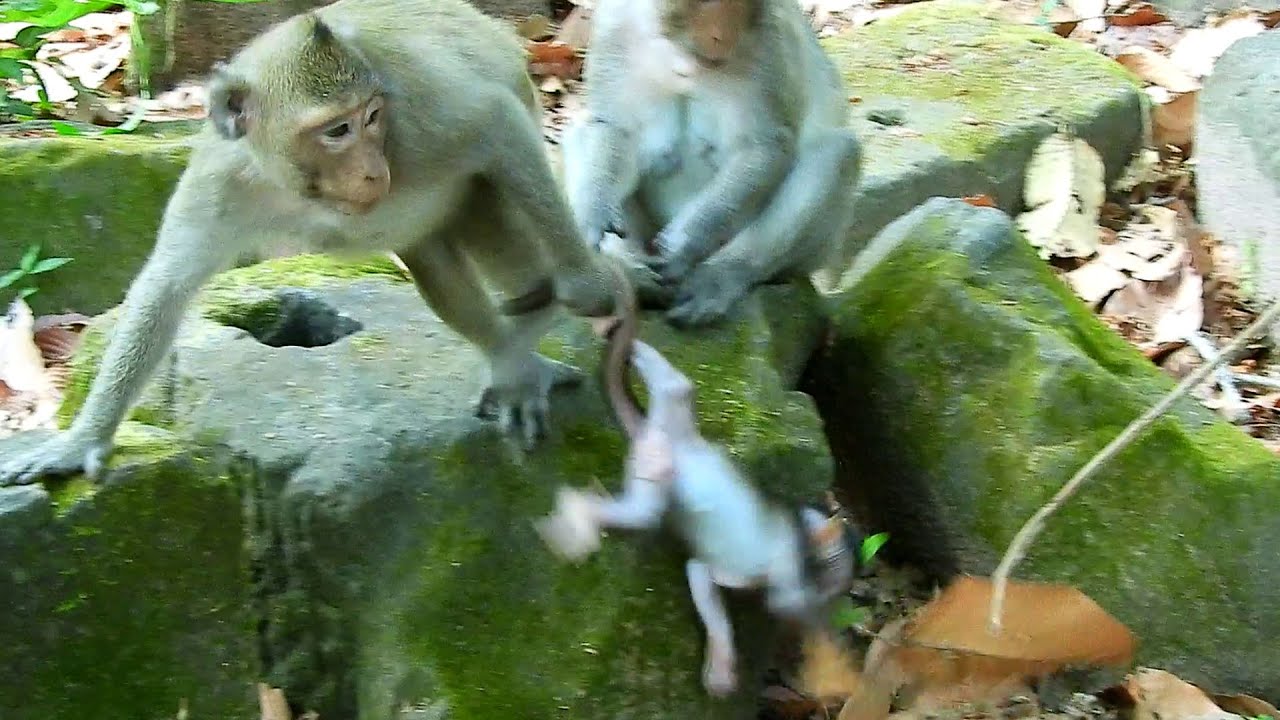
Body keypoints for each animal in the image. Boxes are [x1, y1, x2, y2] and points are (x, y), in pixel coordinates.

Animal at [0, 0, 623, 486]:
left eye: (372, 117)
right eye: (337, 130)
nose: (373, 172)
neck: (306, 190)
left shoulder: (421, 126)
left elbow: (495, 124)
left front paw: (585, 284)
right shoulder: (223, 180)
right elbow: (167, 286)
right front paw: (81, 440)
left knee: (510, 240)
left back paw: (542, 326)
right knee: (435, 266)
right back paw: (506, 355)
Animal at [535, 295, 863, 696]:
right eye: (831, 575)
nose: (833, 600)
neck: (800, 524)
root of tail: (662, 435)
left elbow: (701, 573)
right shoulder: (784, 555)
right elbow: (781, 599)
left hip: (663, 432)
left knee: (674, 389)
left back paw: (611, 328)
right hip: (662, 443)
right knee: (647, 498)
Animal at [559, 0, 863, 327]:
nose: (723, 34)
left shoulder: (769, 38)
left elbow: (763, 147)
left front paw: (689, 240)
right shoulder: (614, 27)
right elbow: (614, 128)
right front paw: (596, 211)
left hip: (819, 251)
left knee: (837, 153)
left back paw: (719, 276)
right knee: (580, 132)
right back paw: (634, 274)